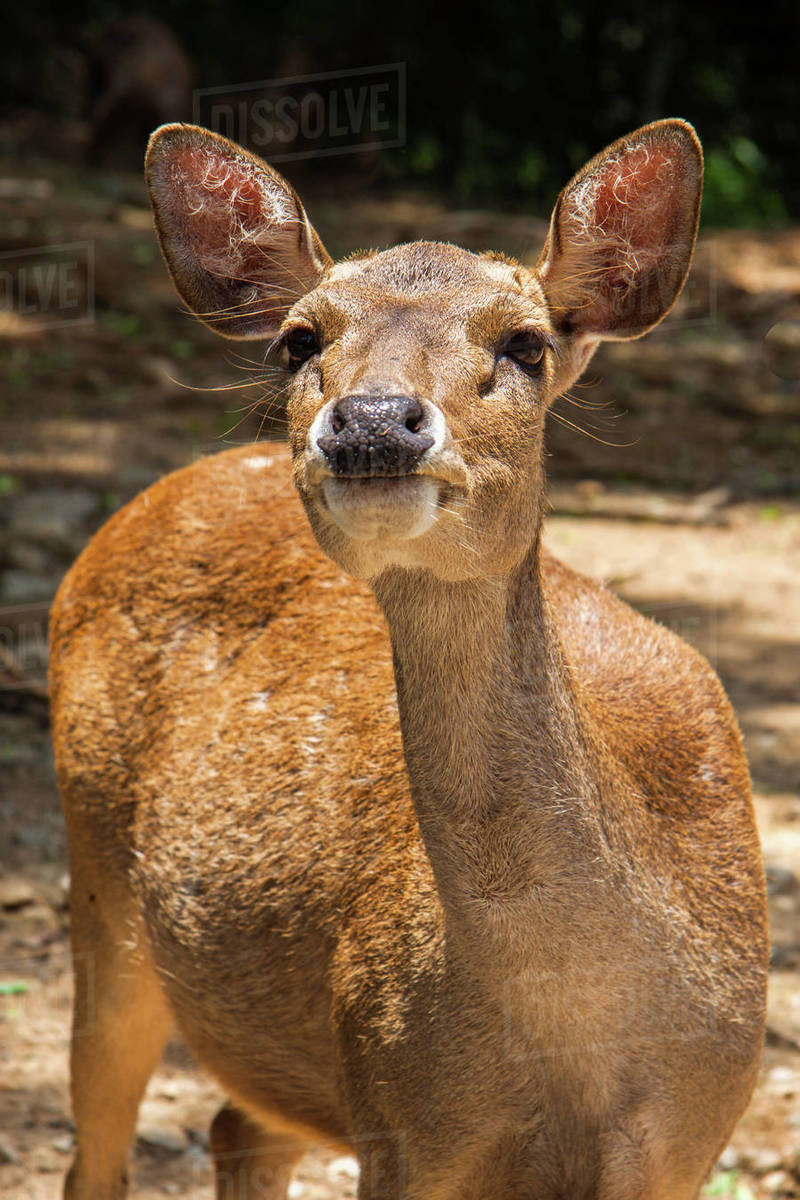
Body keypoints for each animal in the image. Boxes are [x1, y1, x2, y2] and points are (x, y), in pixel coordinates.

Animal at [50, 119, 768, 1200]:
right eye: (299, 339)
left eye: (526, 341)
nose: (374, 421)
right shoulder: (400, 1115)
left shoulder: (689, 1139)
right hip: (100, 895)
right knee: (99, 1149)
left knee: (236, 1126)